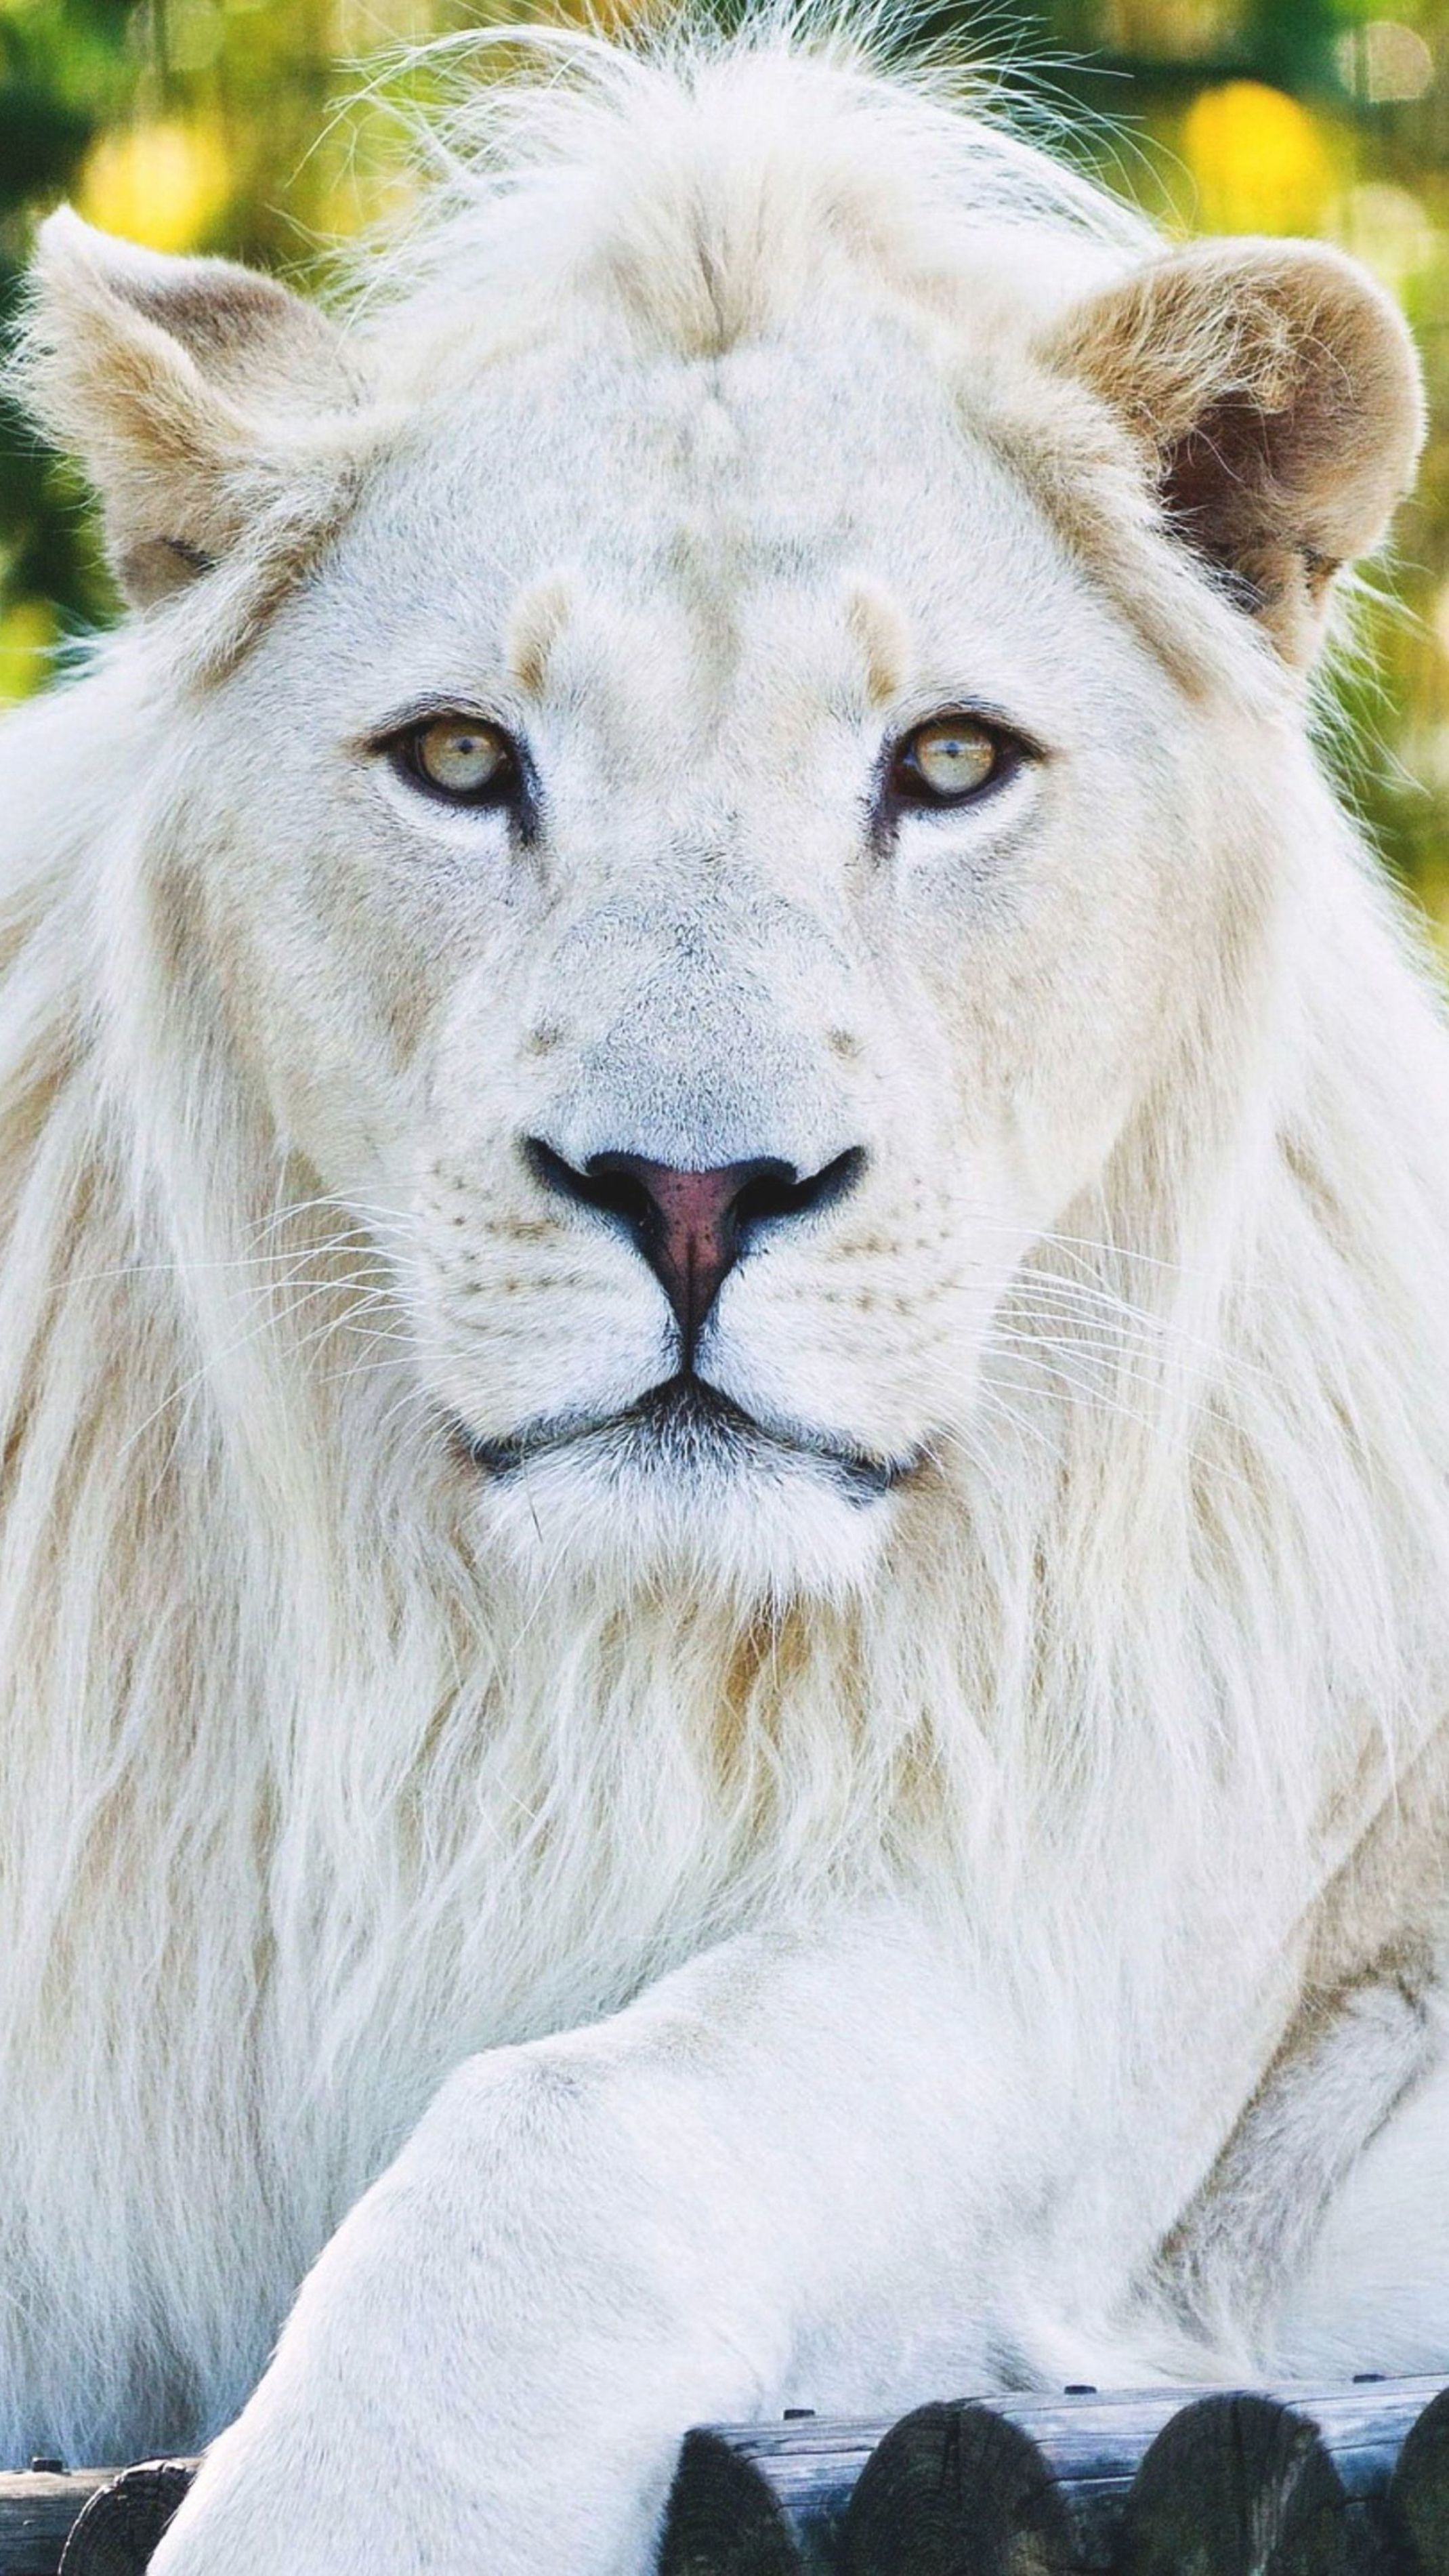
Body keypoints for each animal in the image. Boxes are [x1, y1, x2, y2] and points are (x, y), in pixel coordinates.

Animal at [1, 14, 1447, 2570]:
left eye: (946, 761)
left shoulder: (1083, 1942)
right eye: (459, 757)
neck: (552, 1668)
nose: (689, 1194)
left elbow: (570, 2132)